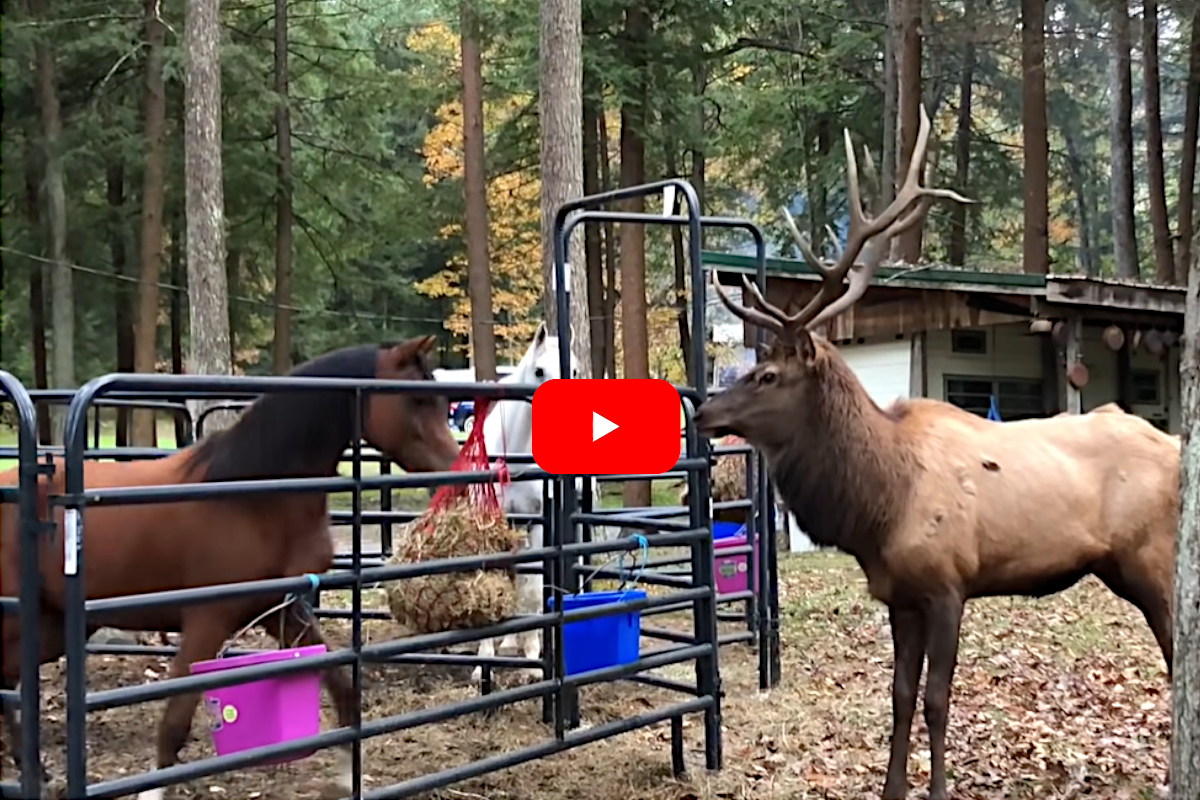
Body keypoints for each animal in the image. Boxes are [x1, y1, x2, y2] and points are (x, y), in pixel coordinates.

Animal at [694, 106, 1179, 800]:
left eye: (767, 376)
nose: (703, 412)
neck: (878, 506)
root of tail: (1177, 445)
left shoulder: (950, 584)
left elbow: (937, 699)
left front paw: (939, 788)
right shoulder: (900, 595)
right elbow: (898, 696)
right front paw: (892, 789)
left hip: (1150, 557)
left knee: (1175, 652)